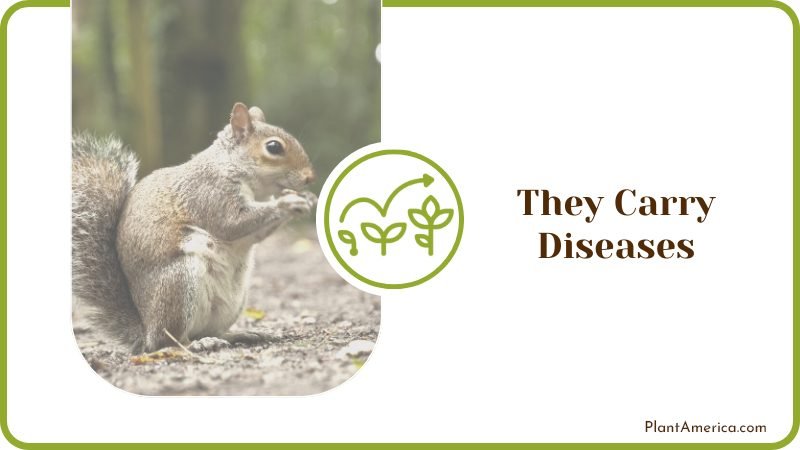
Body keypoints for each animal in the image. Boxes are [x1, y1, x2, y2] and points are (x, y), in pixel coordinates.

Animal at [72, 102, 317, 354]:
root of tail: (146, 331)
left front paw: (307, 199)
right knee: (171, 341)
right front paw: (287, 203)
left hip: (232, 303)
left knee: (211, 330)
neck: (231, 165)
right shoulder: (209, 193)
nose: (310, 177)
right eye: (274, 147)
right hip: (180, 282)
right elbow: (233, 224)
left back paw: (240, 334)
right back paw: (198, 343)